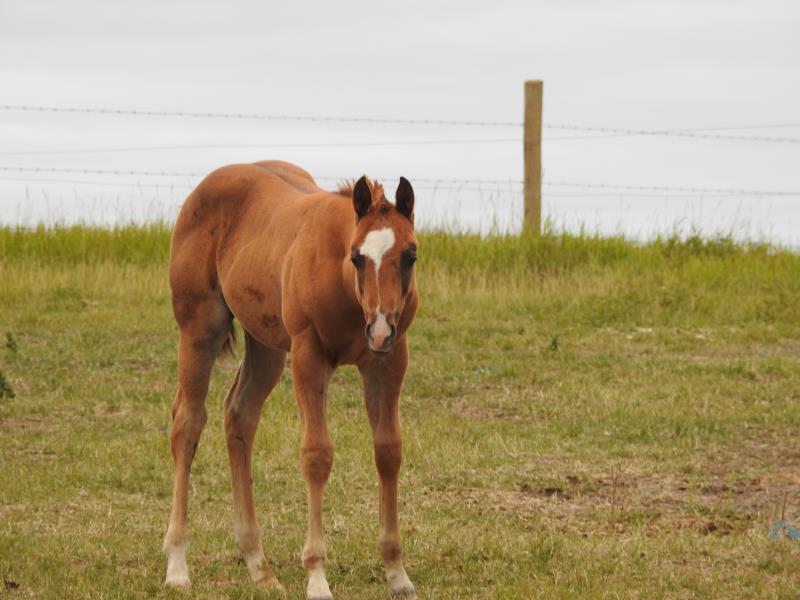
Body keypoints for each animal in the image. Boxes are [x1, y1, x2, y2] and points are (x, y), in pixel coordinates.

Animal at [162, 160, 419, 600]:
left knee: (240, 415)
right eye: (357, 257)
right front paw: (317, 576)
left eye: (410, 256)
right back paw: (177, 564)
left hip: (266, 346)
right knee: (188, 423)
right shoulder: (308, 356)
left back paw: (258, 565)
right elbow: (317, 455)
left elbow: (388, 451)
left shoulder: (388, 362)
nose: (381, 328)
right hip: (200, 328)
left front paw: (396, 573)